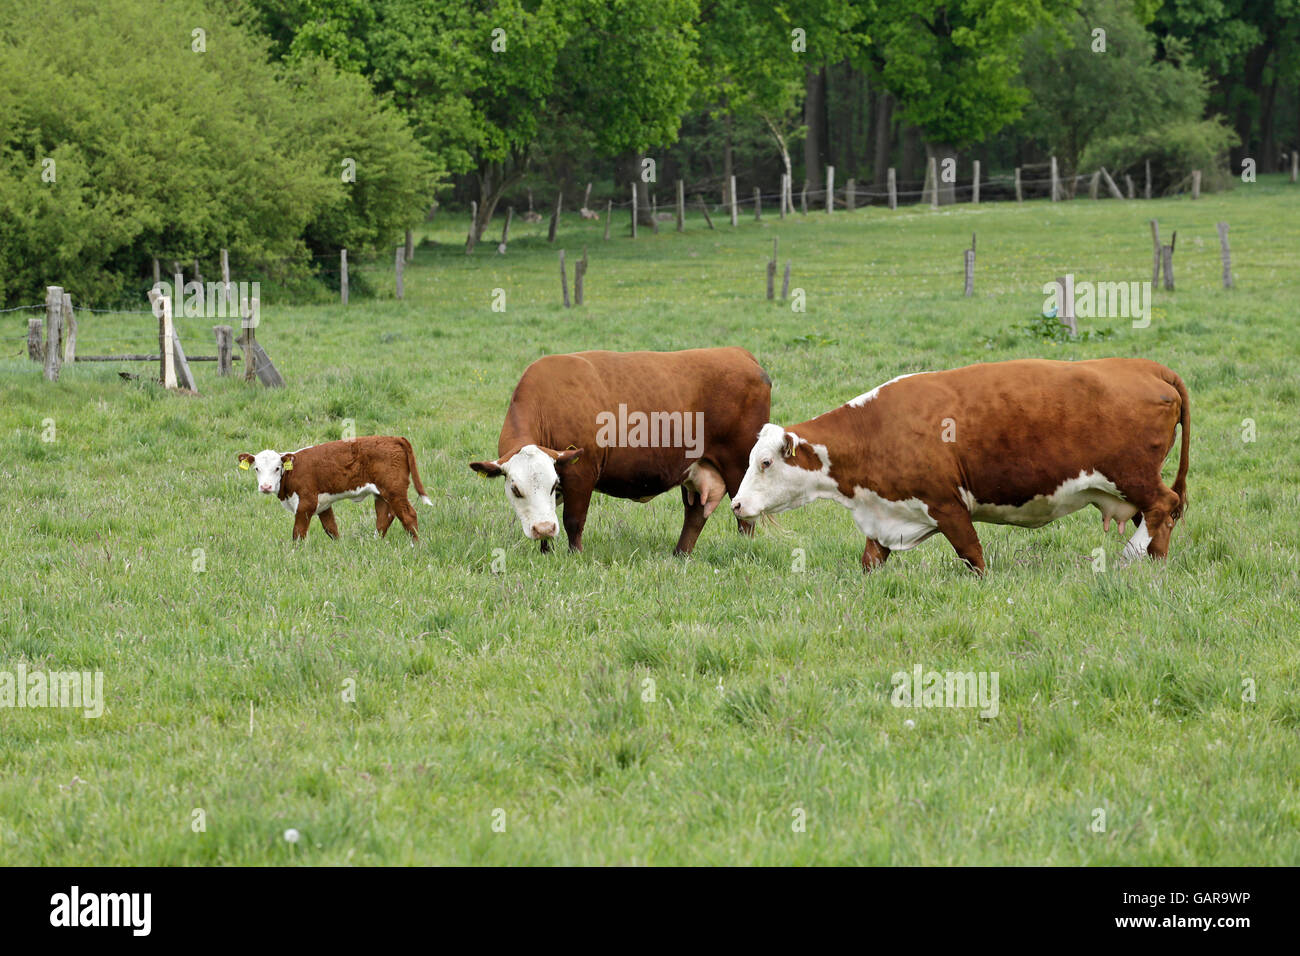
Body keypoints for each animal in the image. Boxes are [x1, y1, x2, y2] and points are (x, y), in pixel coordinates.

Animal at [238, 436, 432, 541]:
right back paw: (375, 543)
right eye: (257, 468)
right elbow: (331, 528)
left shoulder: (306, 503)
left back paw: (416, 545)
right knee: (385, 517)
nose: (266, 486)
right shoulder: (323, 505)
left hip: (395, 490)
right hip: (382, 494)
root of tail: (393, 438)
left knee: (408, 516)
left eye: (277, 468)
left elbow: (298, 533)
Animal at [470, 347, 771, 554]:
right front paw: (547, 552)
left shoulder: (580, 474)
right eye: (515, 489)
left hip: (739, 468)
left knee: (745, 520)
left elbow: (573, 521)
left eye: (553, 484)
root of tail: (738, 353)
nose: (542, 528)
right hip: (697, 469)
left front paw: (574, 555)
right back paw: (679, 555)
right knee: (695, 516)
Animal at [731, 358, 1190, 574]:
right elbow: (870, 560)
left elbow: (973, 556)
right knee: (1155, 514)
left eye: (766, 462)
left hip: (1133, 475)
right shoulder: (883, 515)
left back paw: (1142, 560)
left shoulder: (946, 505)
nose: (736, 504)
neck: (875, 430)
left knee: (1164, 507)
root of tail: (1146, 367)